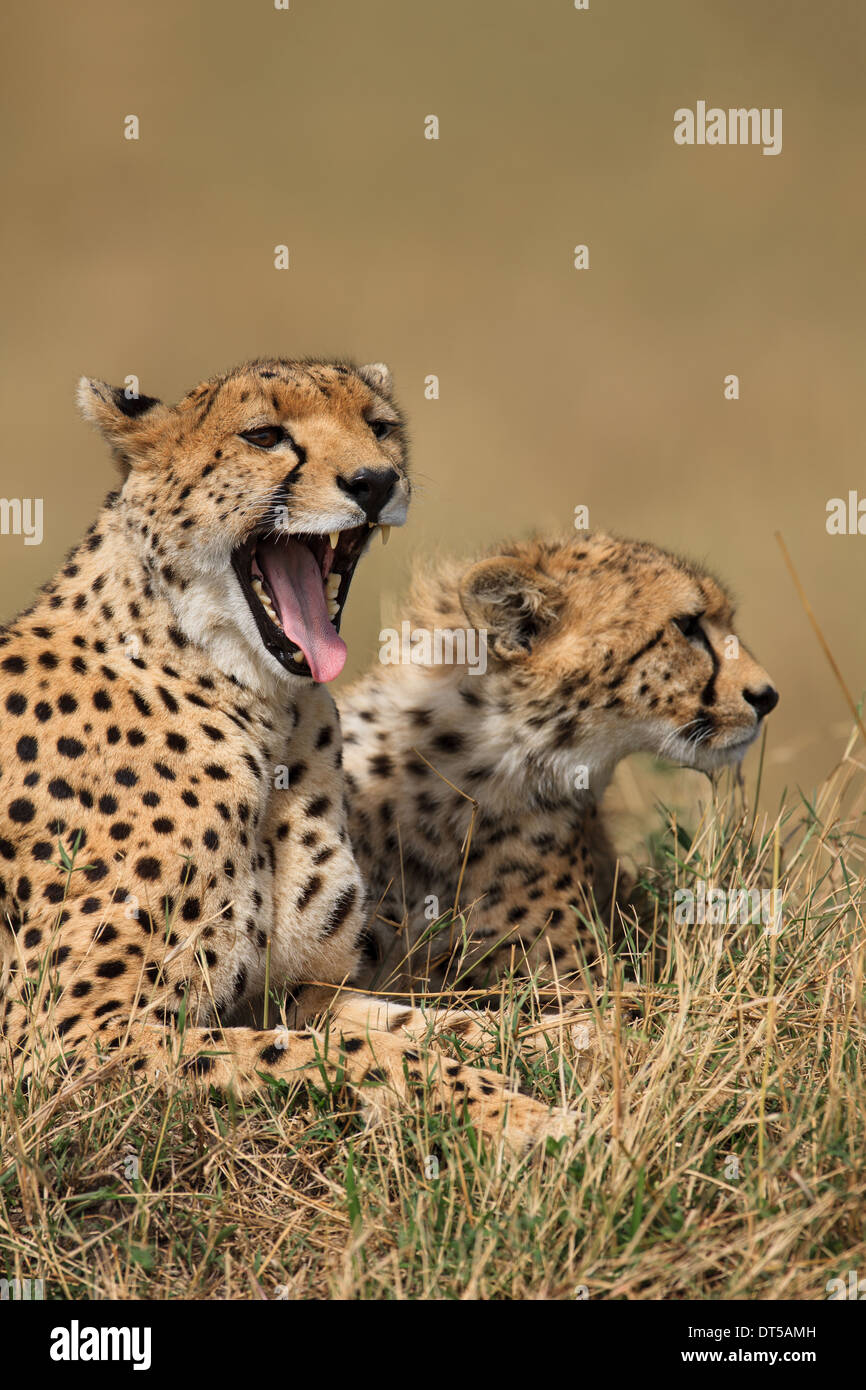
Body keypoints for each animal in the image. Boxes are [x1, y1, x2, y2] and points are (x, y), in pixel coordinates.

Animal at [0, 361, 574, 1151]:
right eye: (265, 435)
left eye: (379, 426)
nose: (375, 482)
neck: (260, 709)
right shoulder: (62, 1039)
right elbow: (356, 1049)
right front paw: (516, 1113)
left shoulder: (301, 989)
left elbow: (435, 1021)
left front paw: (598, 1028)